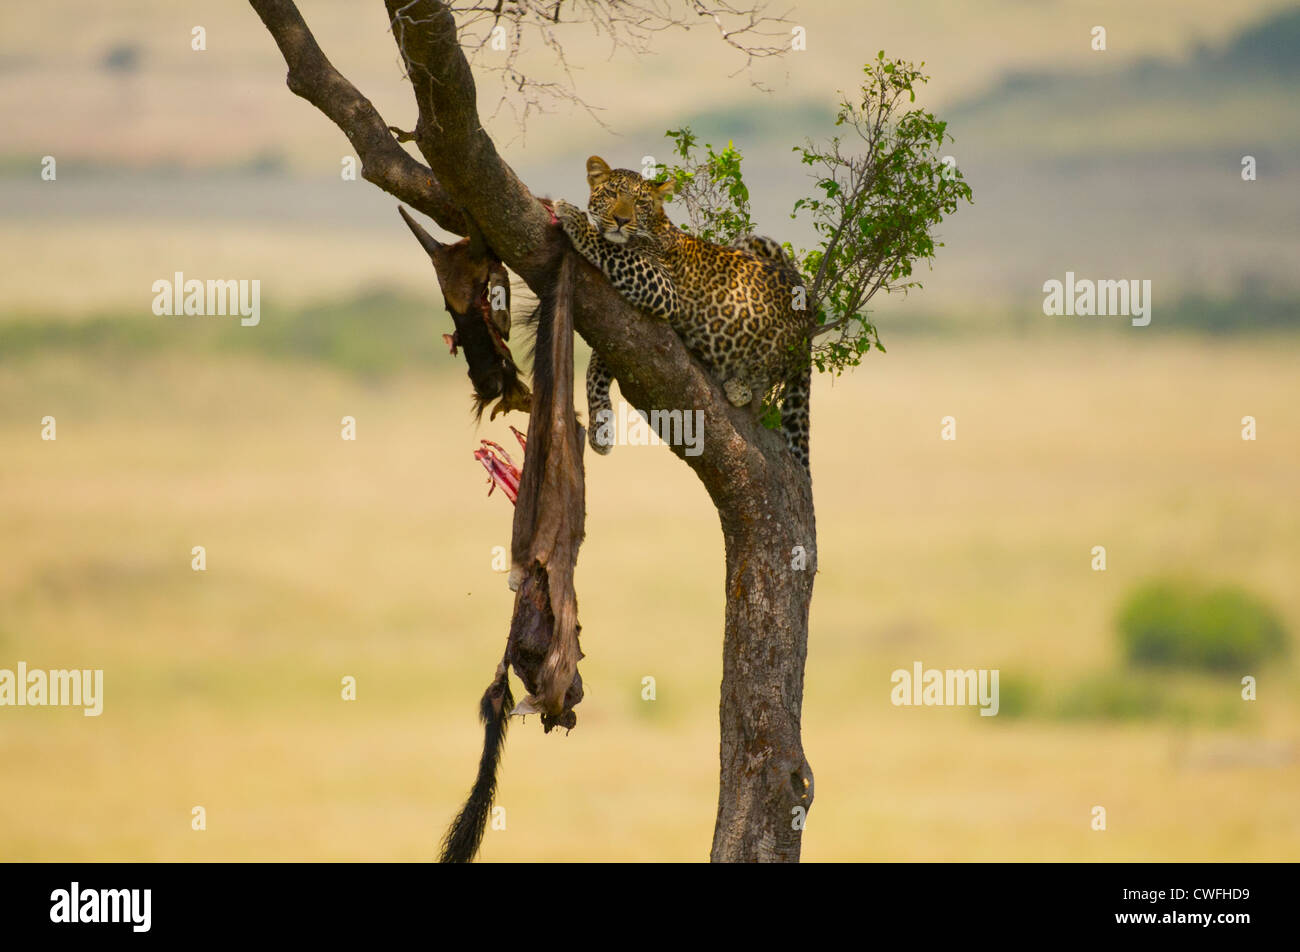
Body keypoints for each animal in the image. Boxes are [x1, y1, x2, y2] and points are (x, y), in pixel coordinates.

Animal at [553, 155, 814, 473]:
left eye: (640, 202)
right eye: (612, 193)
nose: (622, 220)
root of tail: (811, 314)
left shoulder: (663, 288)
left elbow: (612, 250)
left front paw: (575, 219)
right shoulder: (616, 328)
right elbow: (594, 369)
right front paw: (599, 428)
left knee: (769, 375)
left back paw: (739, 386)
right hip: (752, 242)